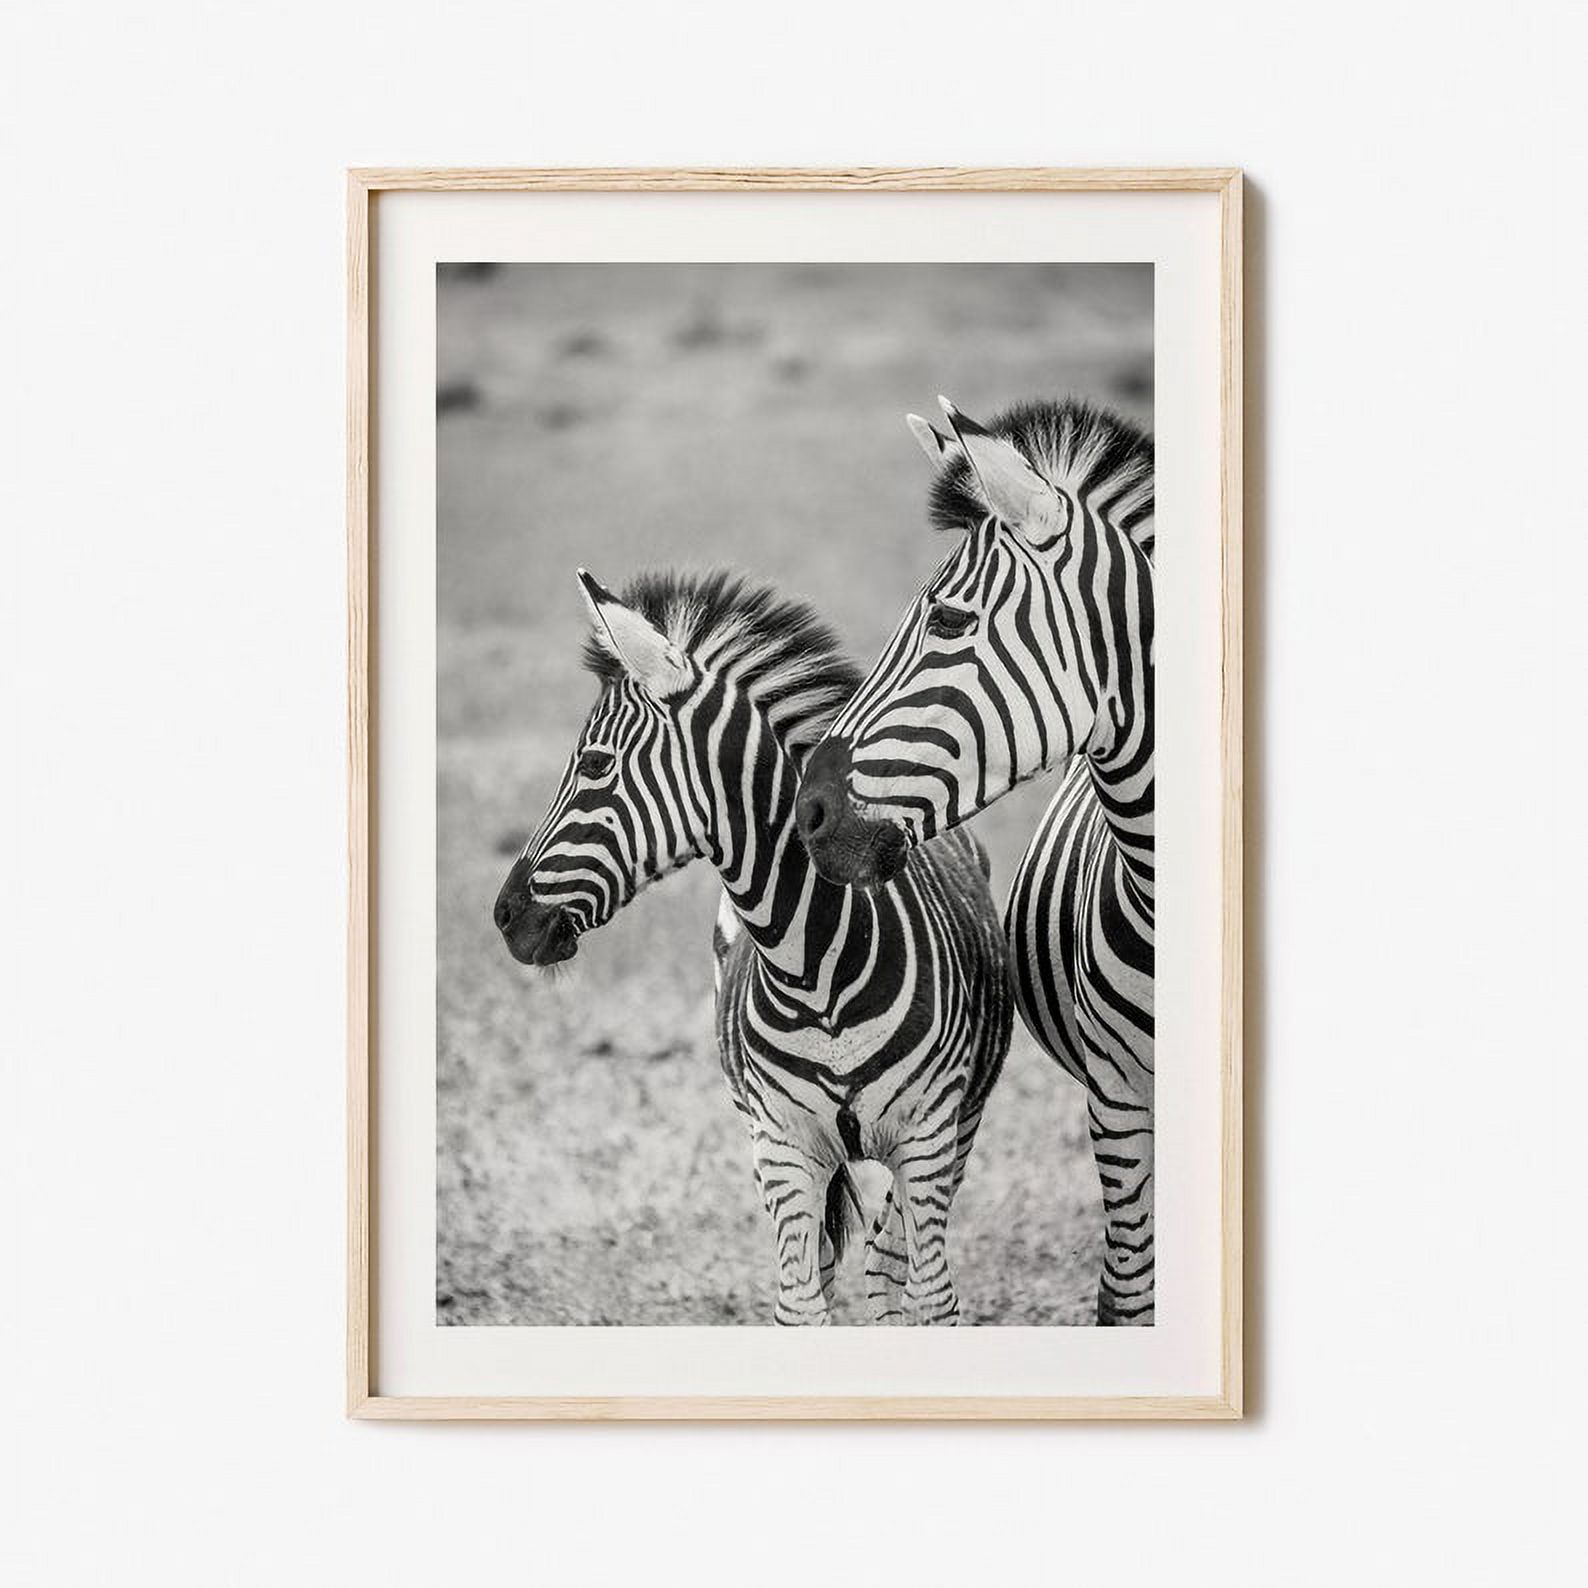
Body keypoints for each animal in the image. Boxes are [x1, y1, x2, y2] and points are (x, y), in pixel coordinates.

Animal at [492, 566, 1013, 1325]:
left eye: (593, 764)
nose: (505, 916)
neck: (817, 968)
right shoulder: (783, 1149)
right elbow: (799, 1305)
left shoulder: (927, 1139)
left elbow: (932, 1297)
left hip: (958, 1129)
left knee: (890, 1265)